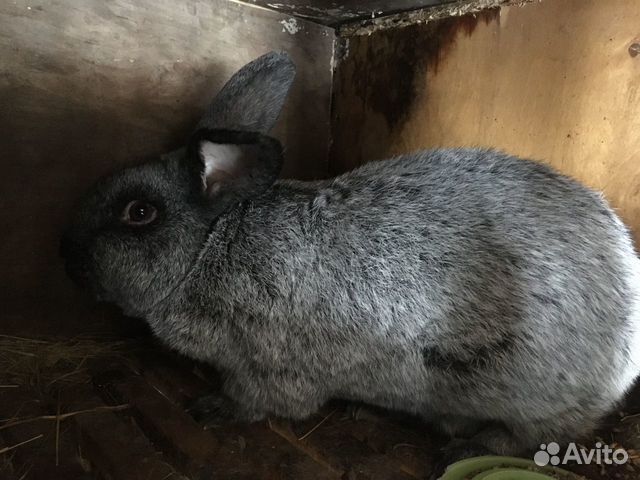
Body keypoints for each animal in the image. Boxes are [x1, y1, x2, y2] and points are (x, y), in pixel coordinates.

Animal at [61, 51, 640, 475]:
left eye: (139, 212)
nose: (66, 256)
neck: (210, 246)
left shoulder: (268, 365)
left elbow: (258, 400)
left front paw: (212, 409)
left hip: (535, 397)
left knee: (537, 432)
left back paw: (464, 446)